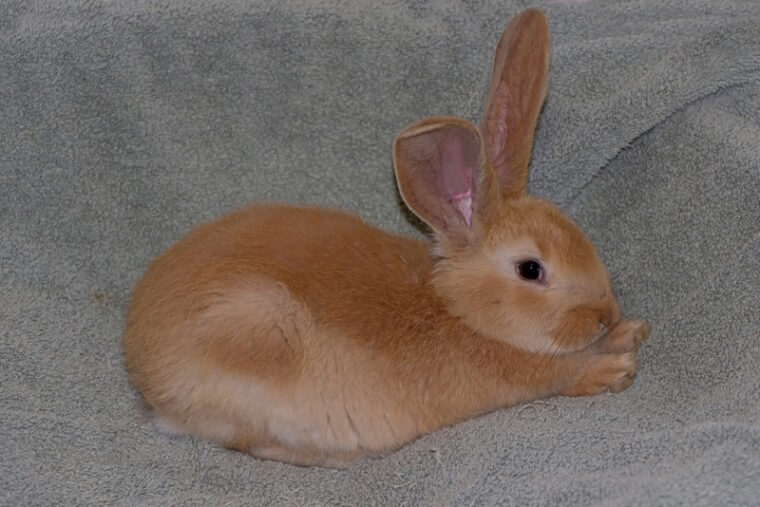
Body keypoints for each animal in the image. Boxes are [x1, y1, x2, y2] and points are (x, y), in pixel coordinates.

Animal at [123, 8, 649, 468]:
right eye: (531, 269)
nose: (606, 313)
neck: (460, 310)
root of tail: (142, 363)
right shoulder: (525, 372)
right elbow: (562, 373)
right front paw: (616, 367)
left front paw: (631, 331)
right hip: (257, 343)